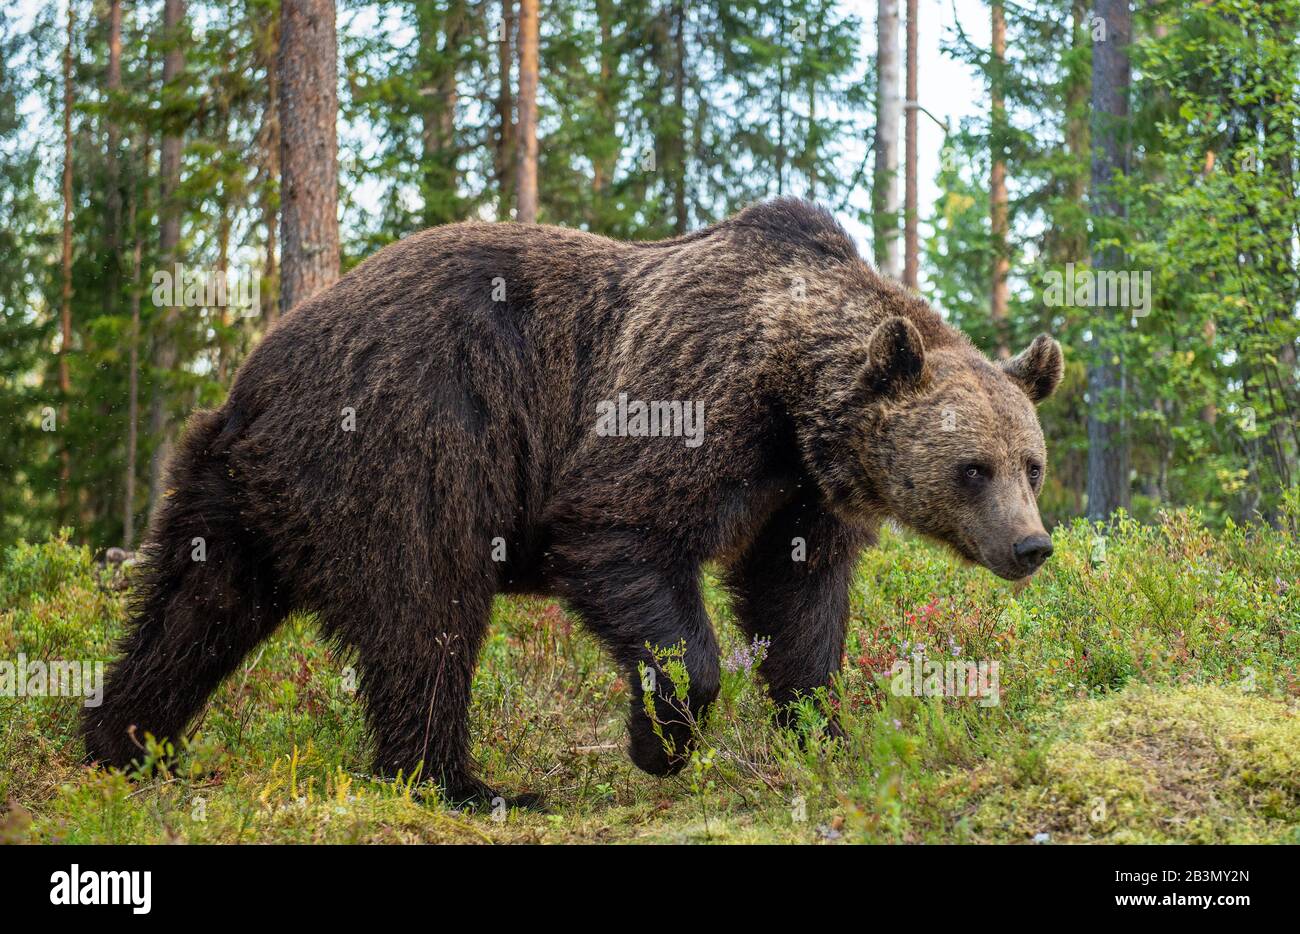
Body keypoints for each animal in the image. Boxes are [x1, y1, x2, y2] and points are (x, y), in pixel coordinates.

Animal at [82, 199, 1063, 805]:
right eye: (973, 468)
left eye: (1031, 465)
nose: (1032, 548)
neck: (792, 395)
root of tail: (254, 378)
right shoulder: (686, 403)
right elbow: (620, 533)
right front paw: (660, 741)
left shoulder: (801, 495)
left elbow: (800, 604)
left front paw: (823, 733)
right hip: (406, 447)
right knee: (425, 612)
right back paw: (461, 783)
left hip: (233, 490)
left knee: (194, 609)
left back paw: (122, 744)